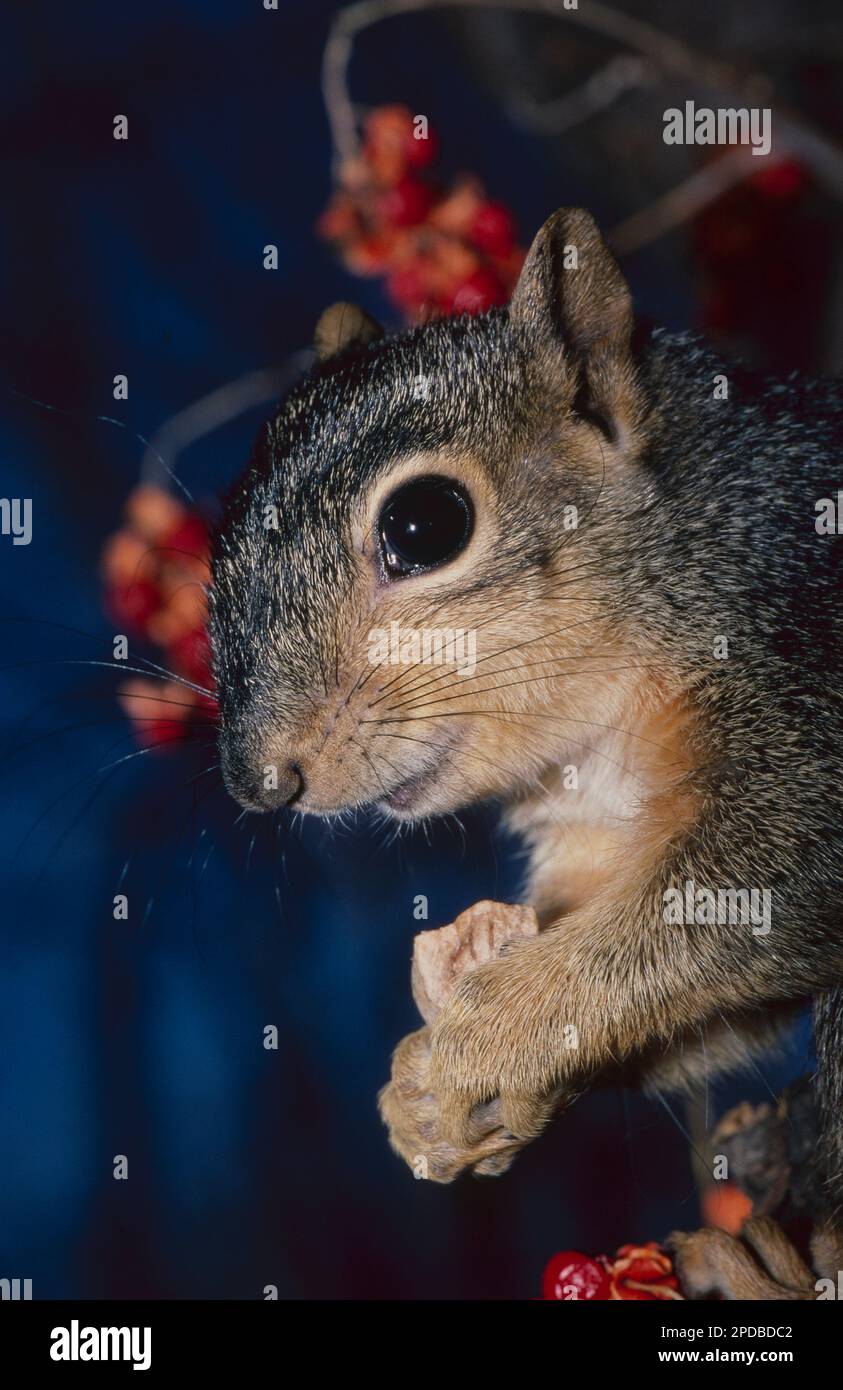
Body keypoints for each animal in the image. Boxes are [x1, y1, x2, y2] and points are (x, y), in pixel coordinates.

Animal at [209, 208, 843, 1299]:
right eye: (218, 558)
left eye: (426, 523)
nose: (259, 783)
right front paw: (434, 1090)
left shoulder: (799, 680)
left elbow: (732, 906)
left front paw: (481, 1040)